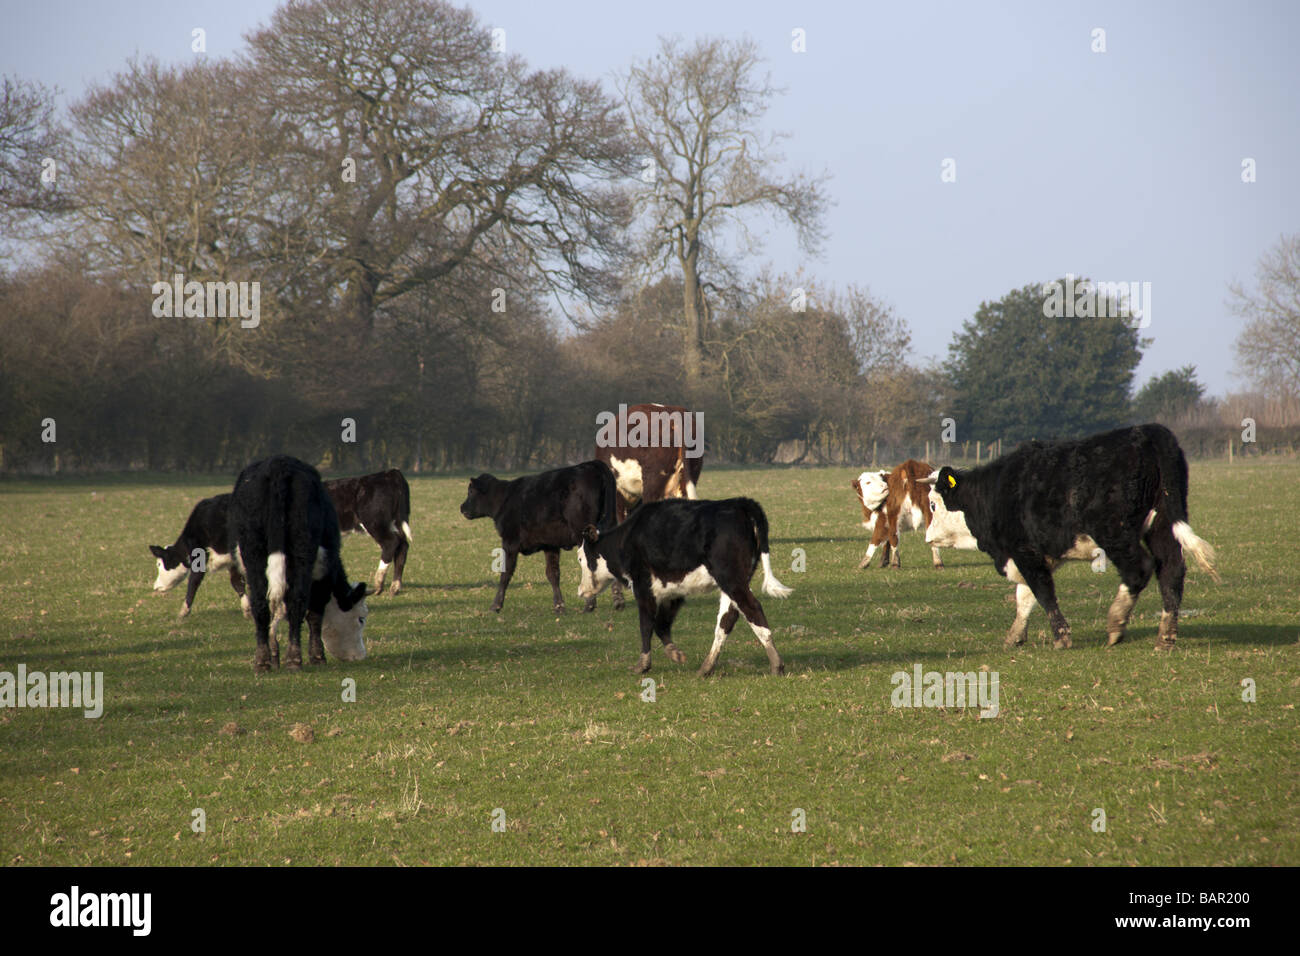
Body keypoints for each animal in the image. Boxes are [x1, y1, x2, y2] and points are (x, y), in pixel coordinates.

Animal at [229, 455, 368, 672]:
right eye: (361, 618)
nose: (361, 655)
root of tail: (279, 466)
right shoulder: (323, 571)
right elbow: (314, 614)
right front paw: (317, 656)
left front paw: (274, 654)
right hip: (303, 551)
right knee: (297, 600)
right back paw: (294, 659)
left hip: (253, 551)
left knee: (260, 603)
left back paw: (262, 661)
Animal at [459, 460, 618, 614]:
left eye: (471, 491)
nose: (462, 507)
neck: (504, 499)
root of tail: (591, 465)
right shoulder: (550, 544)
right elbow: (553, 574)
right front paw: (559, 606)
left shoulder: (510, 541)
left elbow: (506, 573)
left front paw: (496, 605)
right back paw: (618, 602)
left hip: (583, 534)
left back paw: (589, 605)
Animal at [576, 497, 792, 677]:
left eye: (580, 558)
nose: (580, 591)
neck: (626, 538)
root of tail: (742, 503)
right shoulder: (673, 591)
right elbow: (661, 624)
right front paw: (675, 653)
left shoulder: (643, 586)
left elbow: (646, 625)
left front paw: (643, 664)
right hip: (734, 582)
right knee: (727, 619)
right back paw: (706, 667)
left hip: (732, 580)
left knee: (752, 609)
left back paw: (776, 665)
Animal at [922, 424, 1218, 651]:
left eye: (933, 504)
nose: (927, 537)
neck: (992, 493)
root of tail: (1149, 431)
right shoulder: (1031, 556)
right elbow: (1025, 597)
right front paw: (1015, 636)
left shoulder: (1024, 551)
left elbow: (1042, 592)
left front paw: (1061, 636)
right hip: (1162, 524)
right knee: (1171, 570)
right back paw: (1165, 636)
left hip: (1115, 533)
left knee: (1139, 568)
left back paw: (1116, 622)